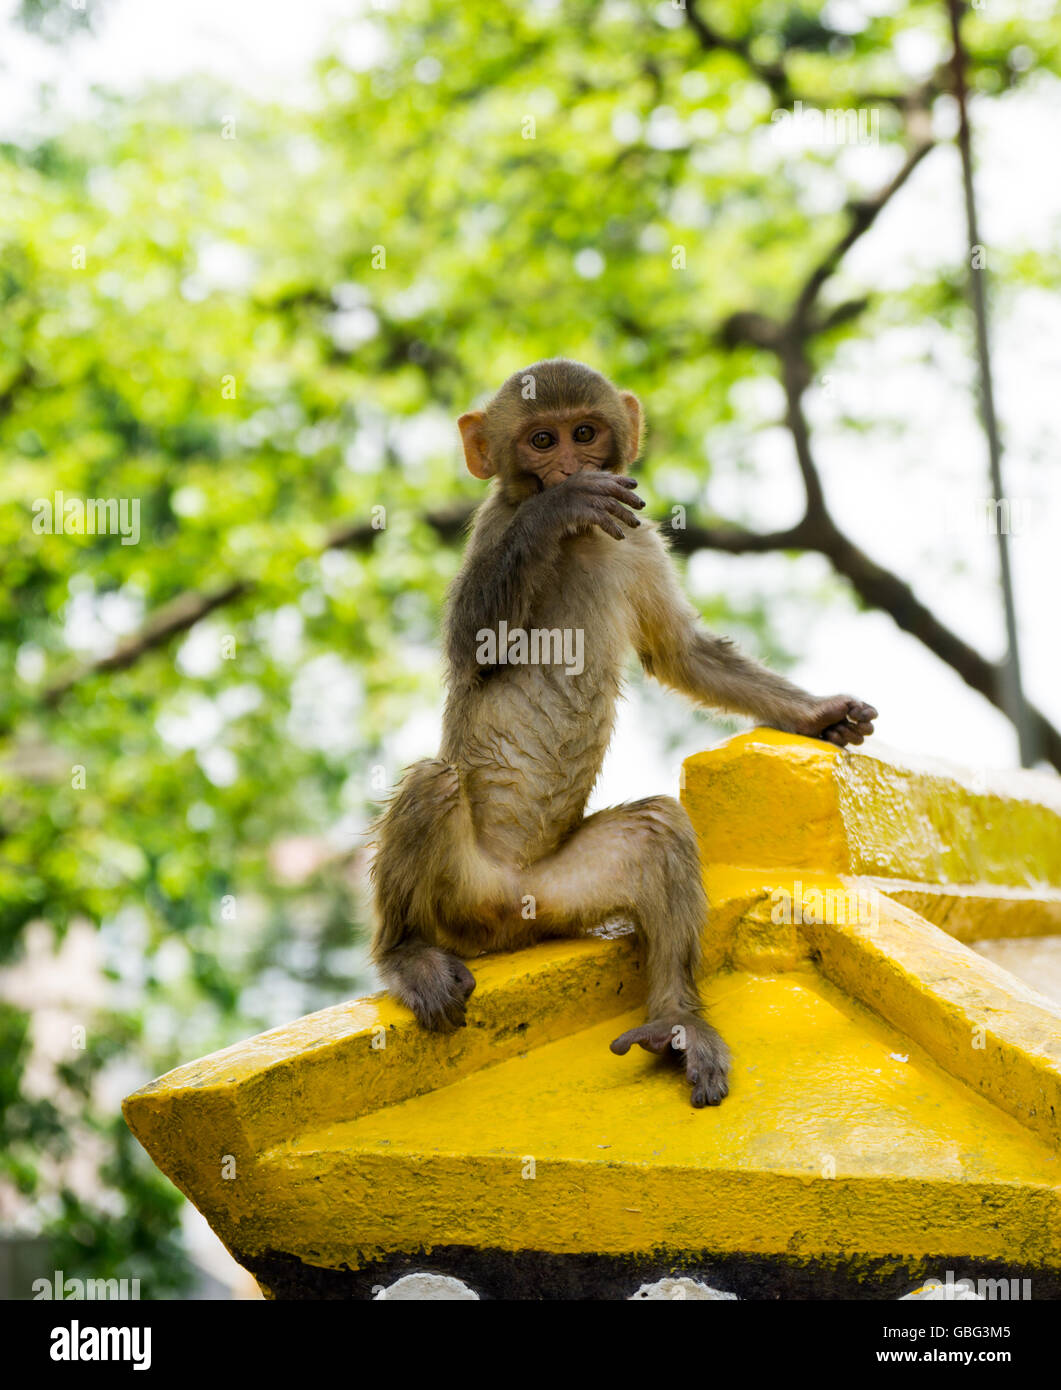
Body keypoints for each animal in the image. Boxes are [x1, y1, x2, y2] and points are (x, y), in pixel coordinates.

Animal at [370, 359, 877, 1106]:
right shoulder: (495, 524)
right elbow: (472, 647)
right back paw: (406, 954)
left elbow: (681, 652)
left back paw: (673, 1023)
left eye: (584, 432)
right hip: (456, 897)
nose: (571, 467)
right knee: (434, 782)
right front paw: (558, 507)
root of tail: (503, 914)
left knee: (657, 831)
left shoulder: (635, 537)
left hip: (559, 897)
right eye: (542, 440)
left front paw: (818, 714)